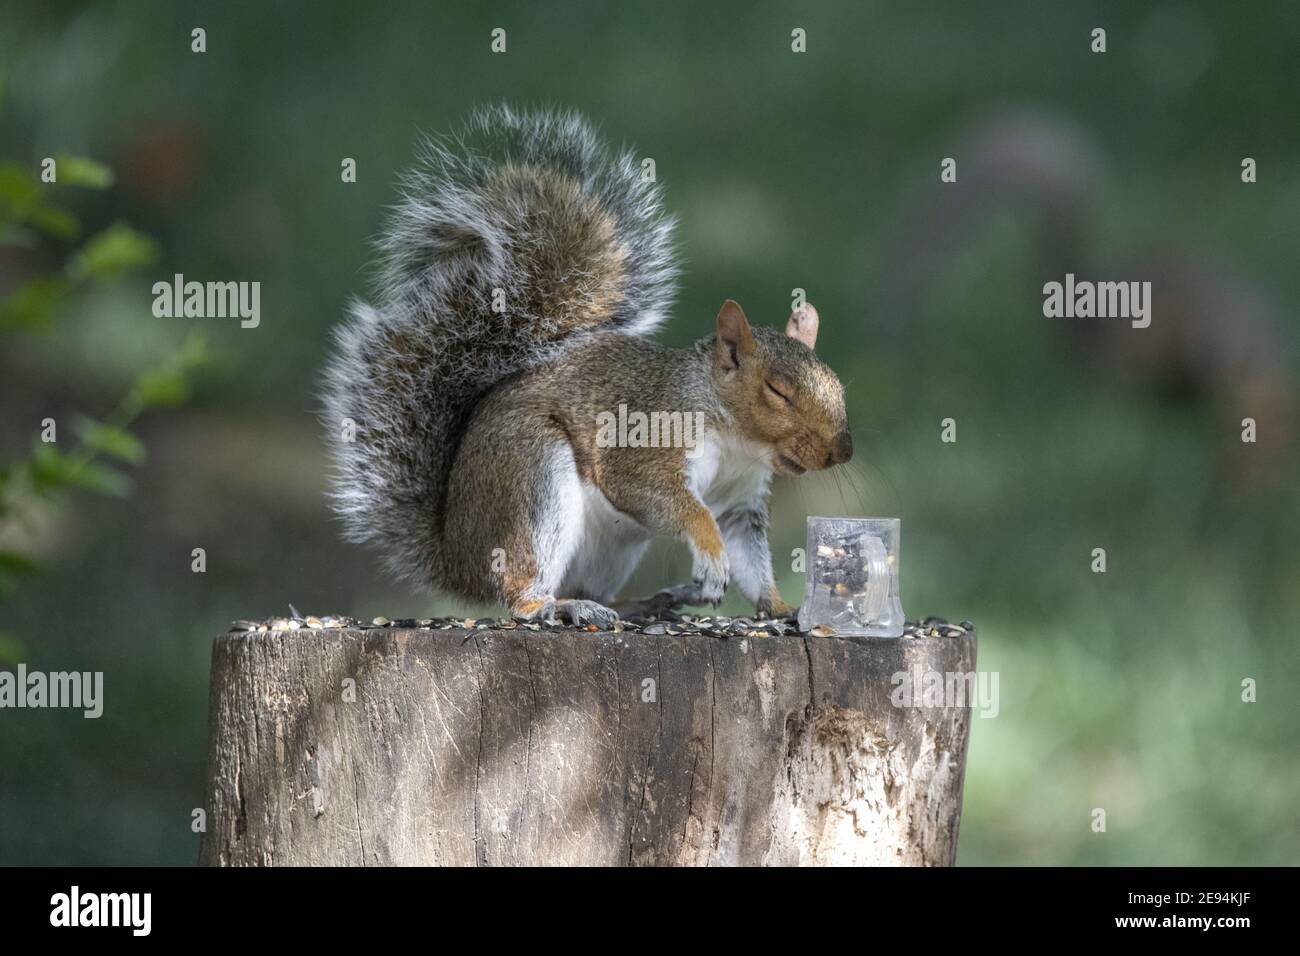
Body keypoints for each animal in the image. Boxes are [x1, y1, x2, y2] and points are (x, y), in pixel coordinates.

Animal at [323, 105, 852, 627]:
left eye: (839, 387)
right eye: (778, 390)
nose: (842, 451)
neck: (738, 443)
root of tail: (456, 560)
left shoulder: (741, 506)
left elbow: (750, 559)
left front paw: (781, 609)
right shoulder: (646, 441)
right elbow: (667, 501)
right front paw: (710, 556)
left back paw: (637, 604)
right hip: (533, 478)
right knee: (519, 593)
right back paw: (554, 606)